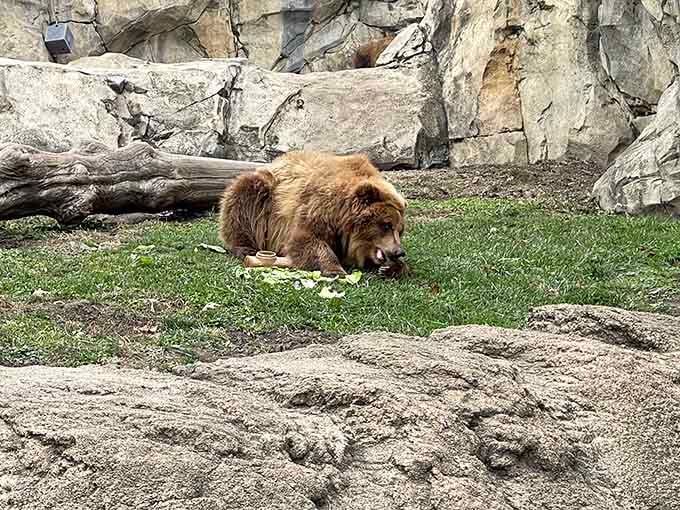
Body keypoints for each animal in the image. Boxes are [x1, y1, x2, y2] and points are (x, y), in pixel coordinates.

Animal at [218, 151, 409, 278]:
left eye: (399, 230)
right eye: (386, 225)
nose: (399, 251)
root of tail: (275, 161)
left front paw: (392, 267)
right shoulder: (316, 209)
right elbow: (306, 240)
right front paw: (334, 269)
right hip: (266, 193)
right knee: (243, 196)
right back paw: (245, 247)